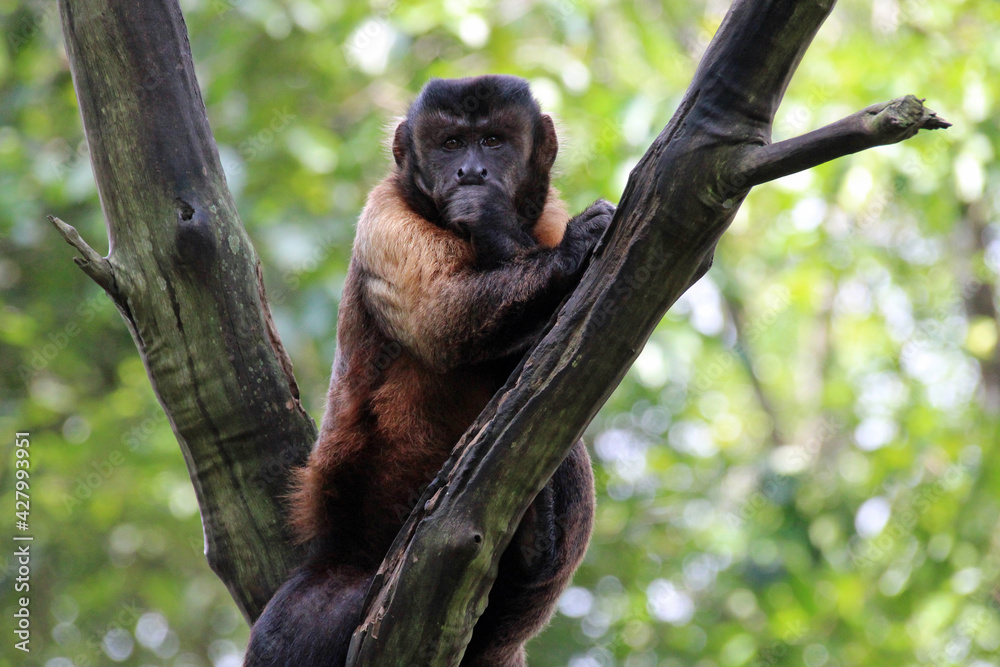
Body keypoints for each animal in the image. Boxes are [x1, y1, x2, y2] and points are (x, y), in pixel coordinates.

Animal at [244, 75, 615, 667]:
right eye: (450, 144)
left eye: (492, 141)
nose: (471, 171)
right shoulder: (384, 215)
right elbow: (442, 321)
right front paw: (551, 239)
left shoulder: (546, 216)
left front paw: (495, 222)